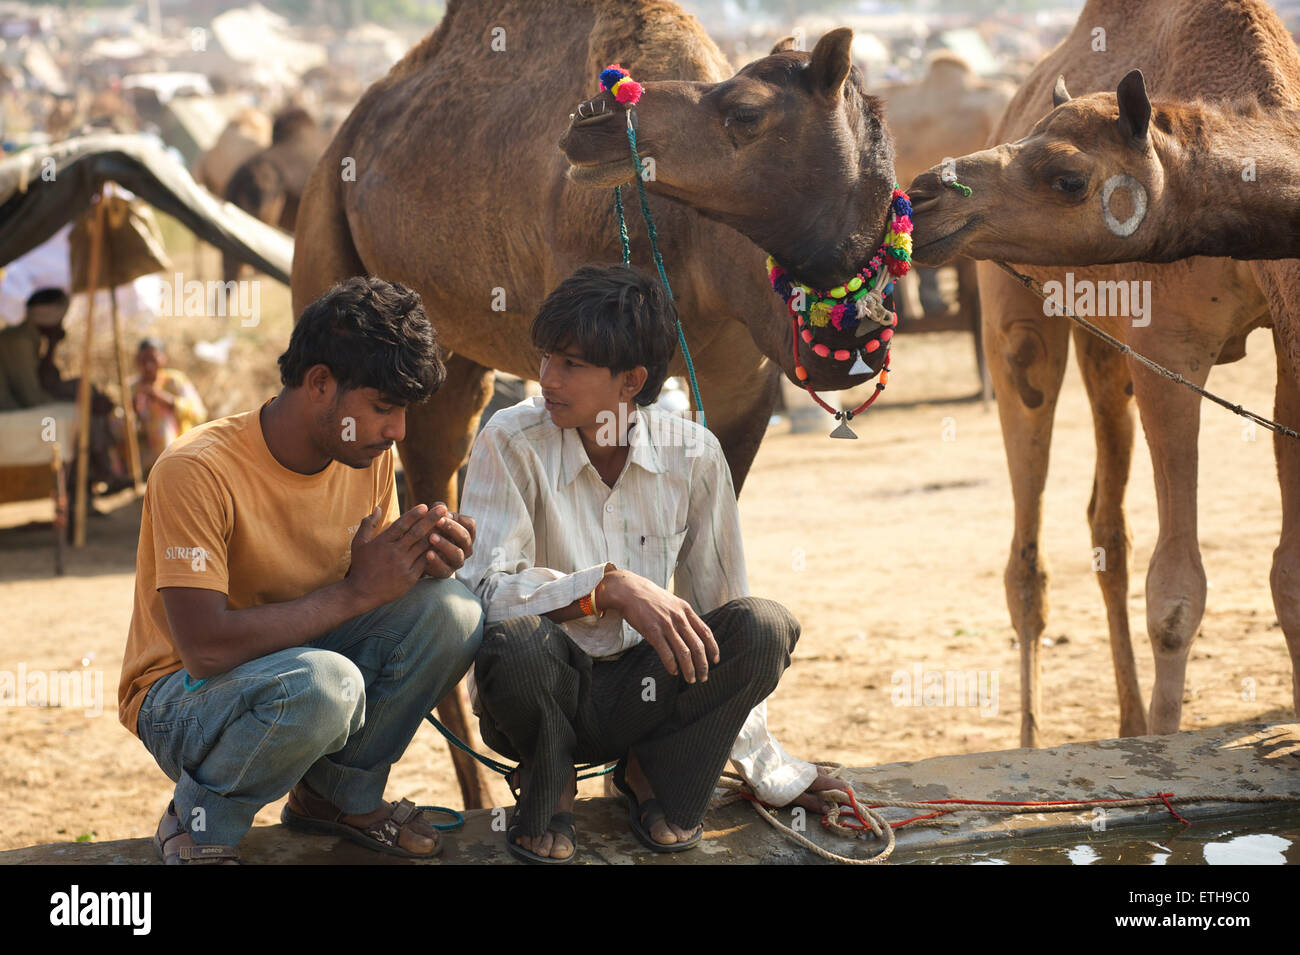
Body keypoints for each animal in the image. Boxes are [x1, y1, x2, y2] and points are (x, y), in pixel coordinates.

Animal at [292, 1, 903, 806]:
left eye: (744, 112)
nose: (591, 123)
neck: (702, 252)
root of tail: (344, 136)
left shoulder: (740, 387)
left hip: (448, 358)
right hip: (322, 237)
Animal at [905, 0, 1300, 747]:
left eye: (1068, 178)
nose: (922, 192)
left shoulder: (1292, 340)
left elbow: (1287, 574)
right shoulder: (1170, 347)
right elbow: (1176, 592)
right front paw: (1170, 747)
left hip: (1106, 350)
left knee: (1105, 527)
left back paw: (1129, 722)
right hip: (1020, 325)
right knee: (1028, 556)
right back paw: (1036, 743)